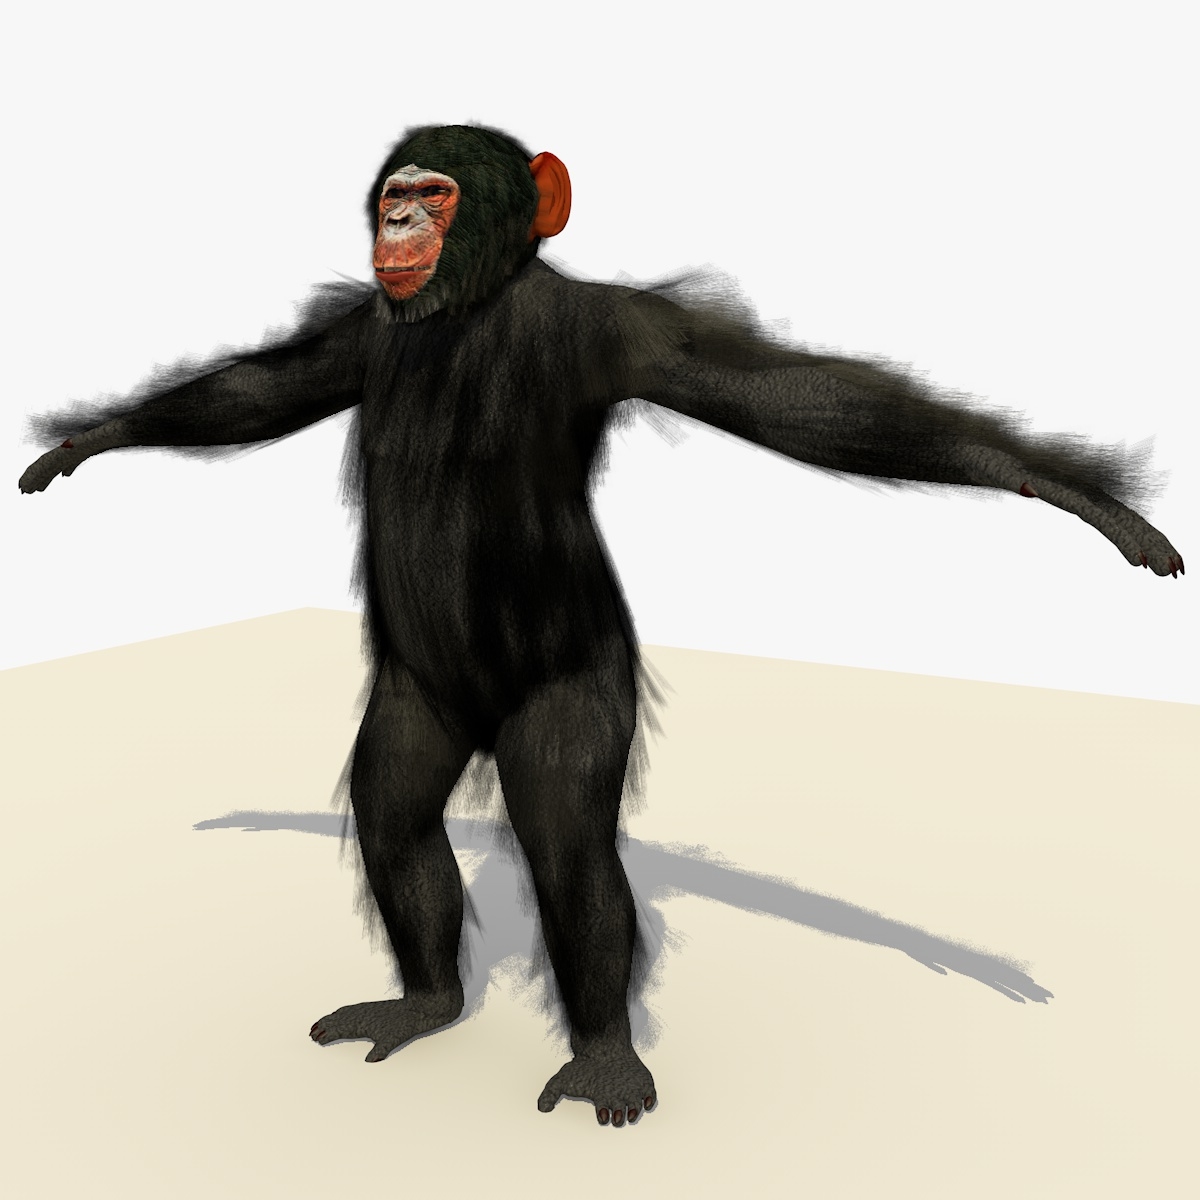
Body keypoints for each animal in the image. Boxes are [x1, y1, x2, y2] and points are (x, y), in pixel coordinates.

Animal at [19, 123, 1184, 1130]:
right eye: (394, 192)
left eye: (433, 191)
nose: (396, 221)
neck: (470, 311)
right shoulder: (361, 335)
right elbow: (259, 390)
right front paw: (81, 440)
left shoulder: (627, 334)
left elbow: (796, 399)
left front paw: (1075, 492)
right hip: (418, 698)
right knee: (396, 814)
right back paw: (427, 1000)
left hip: (574, 689)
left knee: (571, 848)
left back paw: (605, 1061)